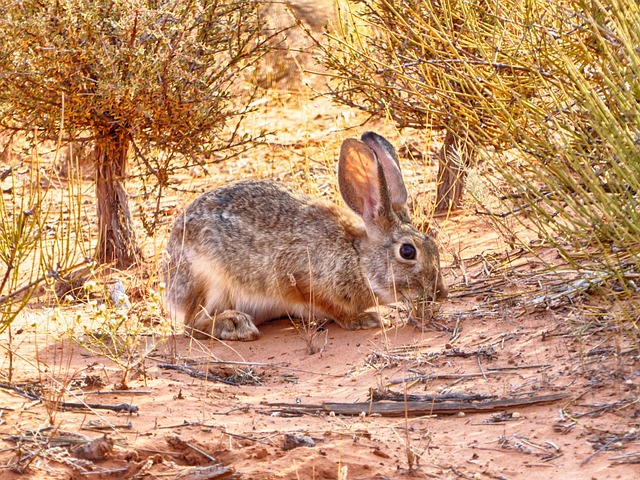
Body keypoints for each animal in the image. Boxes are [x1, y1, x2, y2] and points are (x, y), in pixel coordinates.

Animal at [162, 132, 448, 342]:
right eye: (407, 251)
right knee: (191, 325)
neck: (357, 258)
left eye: (433, 245)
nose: (440, 293)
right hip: (207, 279)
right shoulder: (301, 277)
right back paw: (234, 324)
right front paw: (362, 320)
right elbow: (330, 306)